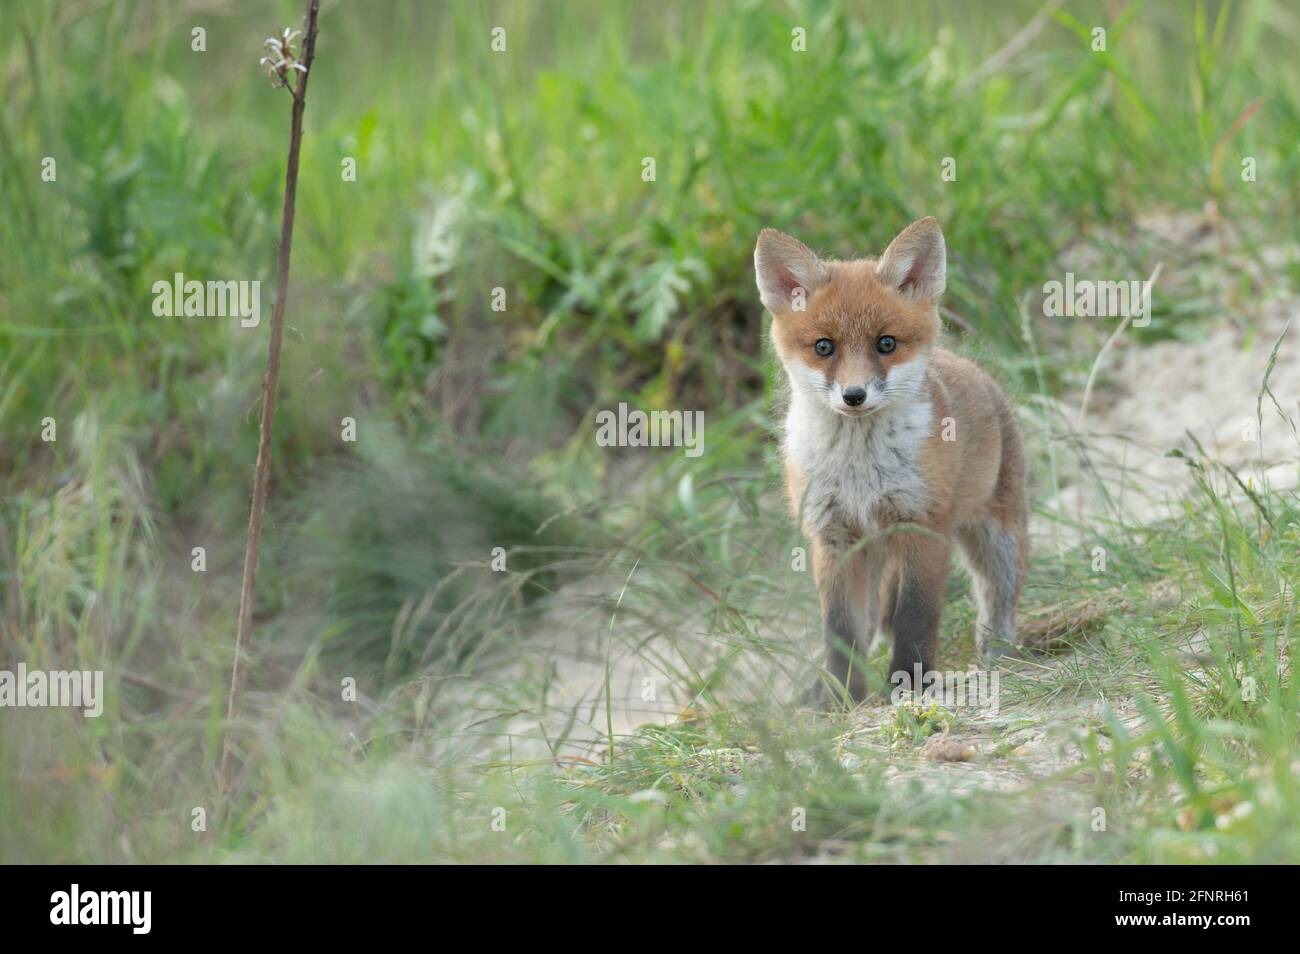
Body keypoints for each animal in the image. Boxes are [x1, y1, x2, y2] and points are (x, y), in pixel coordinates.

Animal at [754, 217, 1028, 705]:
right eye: (824, 347)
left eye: (886, 344)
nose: (854, 395)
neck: (859, 471)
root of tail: (971, 367)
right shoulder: (832, 537)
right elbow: (841, 630)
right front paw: (840, 696)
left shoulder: (922, 526)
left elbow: (915, 617)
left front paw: (910, 683)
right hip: (874, 554)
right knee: (867, 623)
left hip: (996, 538)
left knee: (998, 595)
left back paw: (997, 654)